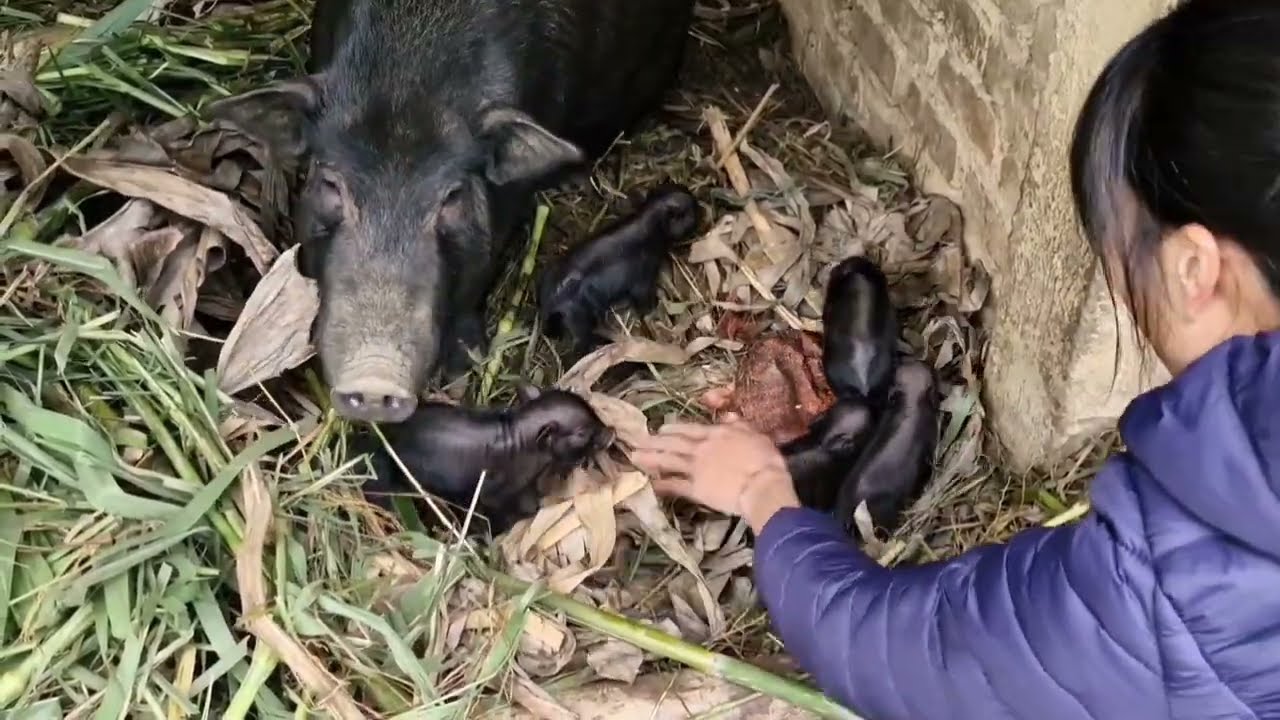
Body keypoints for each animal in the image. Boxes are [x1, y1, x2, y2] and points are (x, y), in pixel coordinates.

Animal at [538, 183, 699, 356]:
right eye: (686, 212)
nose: (700, 208)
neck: (651, 226)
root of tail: (549, 303)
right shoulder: (642, 279)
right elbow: (644, 302)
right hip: (580, 321)